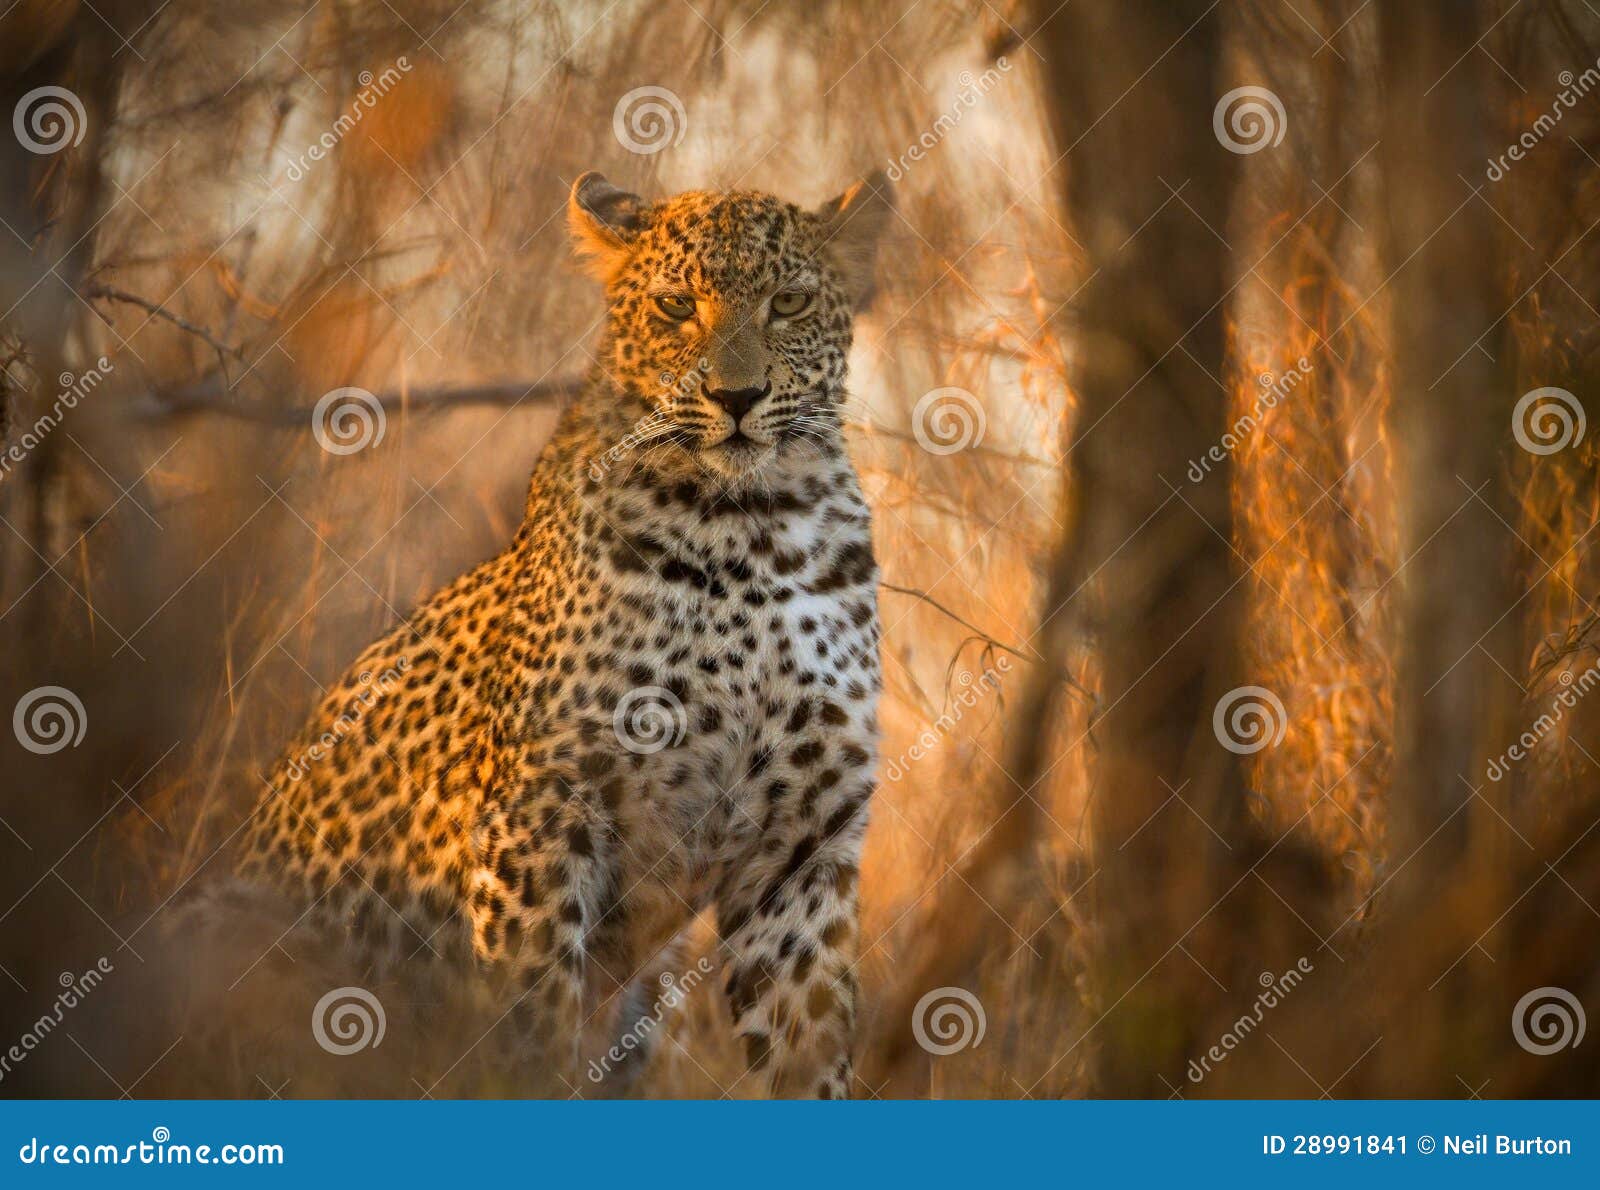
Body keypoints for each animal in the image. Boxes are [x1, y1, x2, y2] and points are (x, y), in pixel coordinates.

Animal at [235, 168, 893, 1099]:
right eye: (674, 306)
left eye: (791, 302)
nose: (736, 398)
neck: (756, 531)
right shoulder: (541, 813)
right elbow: (532, 1024)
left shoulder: (804, 844)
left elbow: (810, 1053)